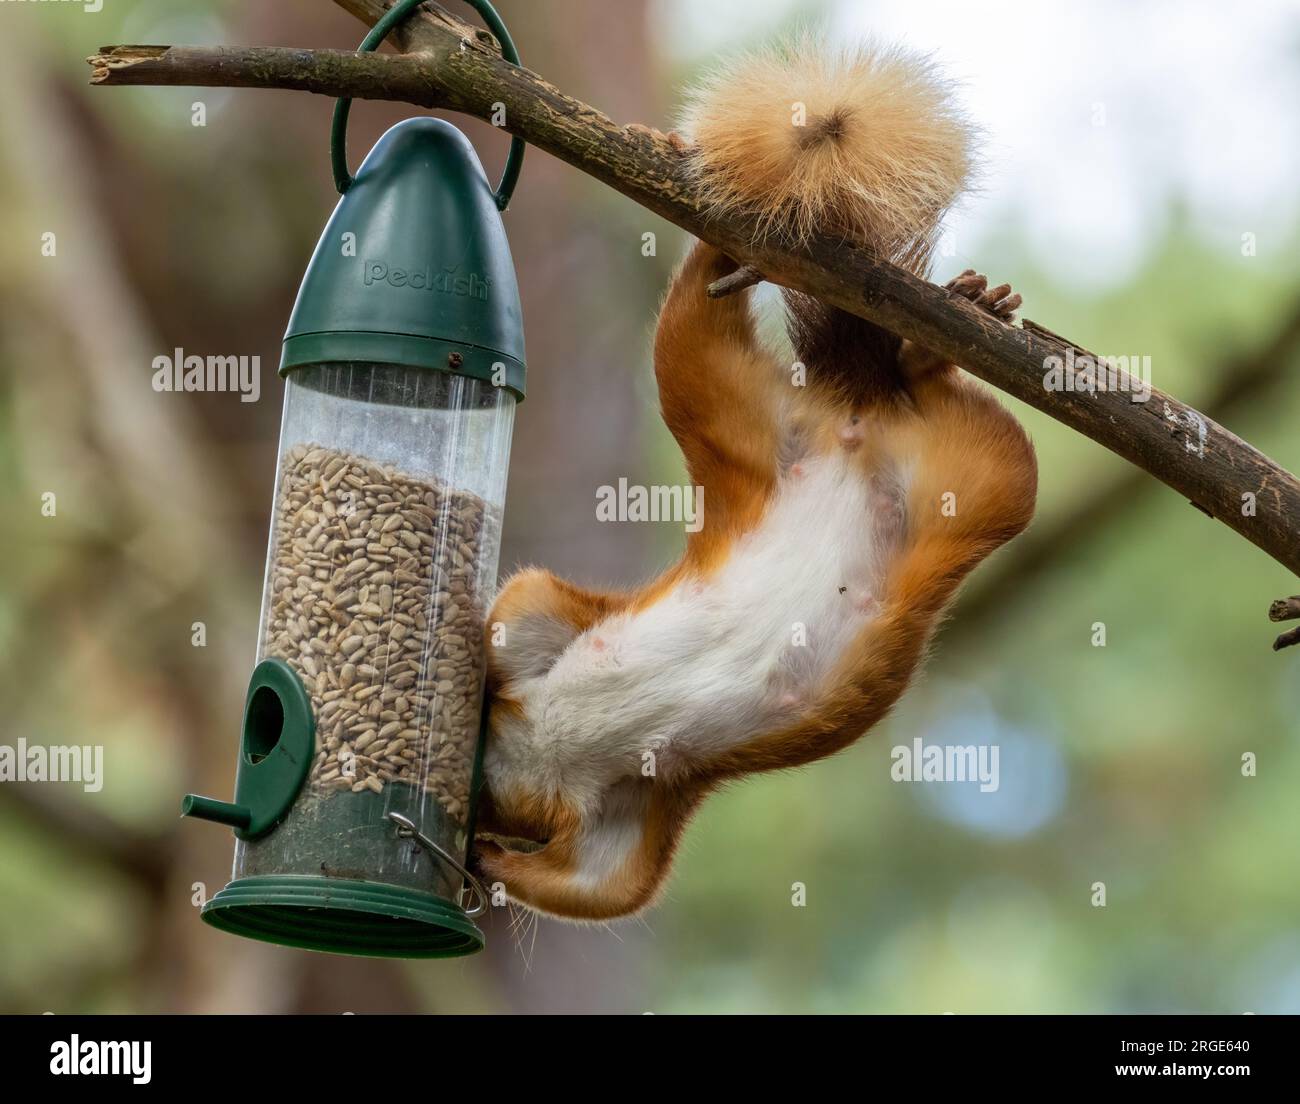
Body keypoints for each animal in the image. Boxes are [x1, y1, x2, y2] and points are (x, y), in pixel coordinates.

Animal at [472, 39, 1038, 920]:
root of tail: (858, 410)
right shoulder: (624, 815)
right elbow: (603, 885)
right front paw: (480, 857)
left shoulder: (641, 810)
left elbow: (608, 891)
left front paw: (480, 860)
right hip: (777, 419)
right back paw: (922, 345)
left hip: (968, 472)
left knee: (708, 284)